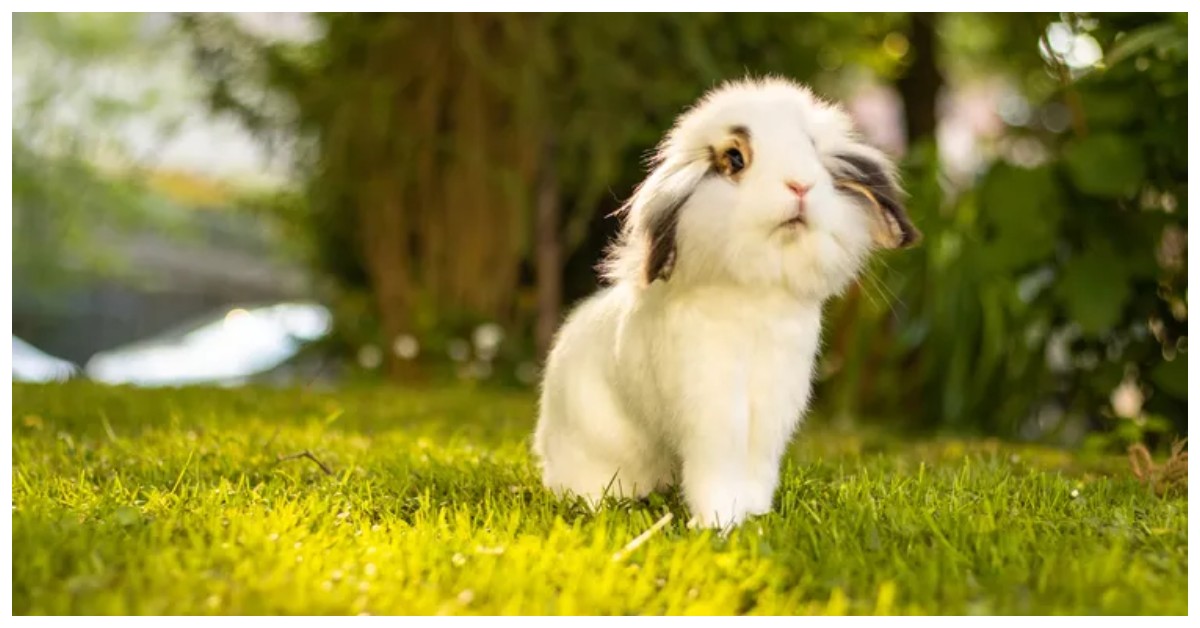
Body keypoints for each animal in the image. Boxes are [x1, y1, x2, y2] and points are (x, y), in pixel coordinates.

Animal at [532, 76, 920, 529]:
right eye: (735, 158)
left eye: (811, 148)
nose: (800, 185)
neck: (756, 296)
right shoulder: (712, 410)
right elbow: (716, 468)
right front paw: (717, 523)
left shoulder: (768, 412)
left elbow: (754, 469)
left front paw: (754, 514)